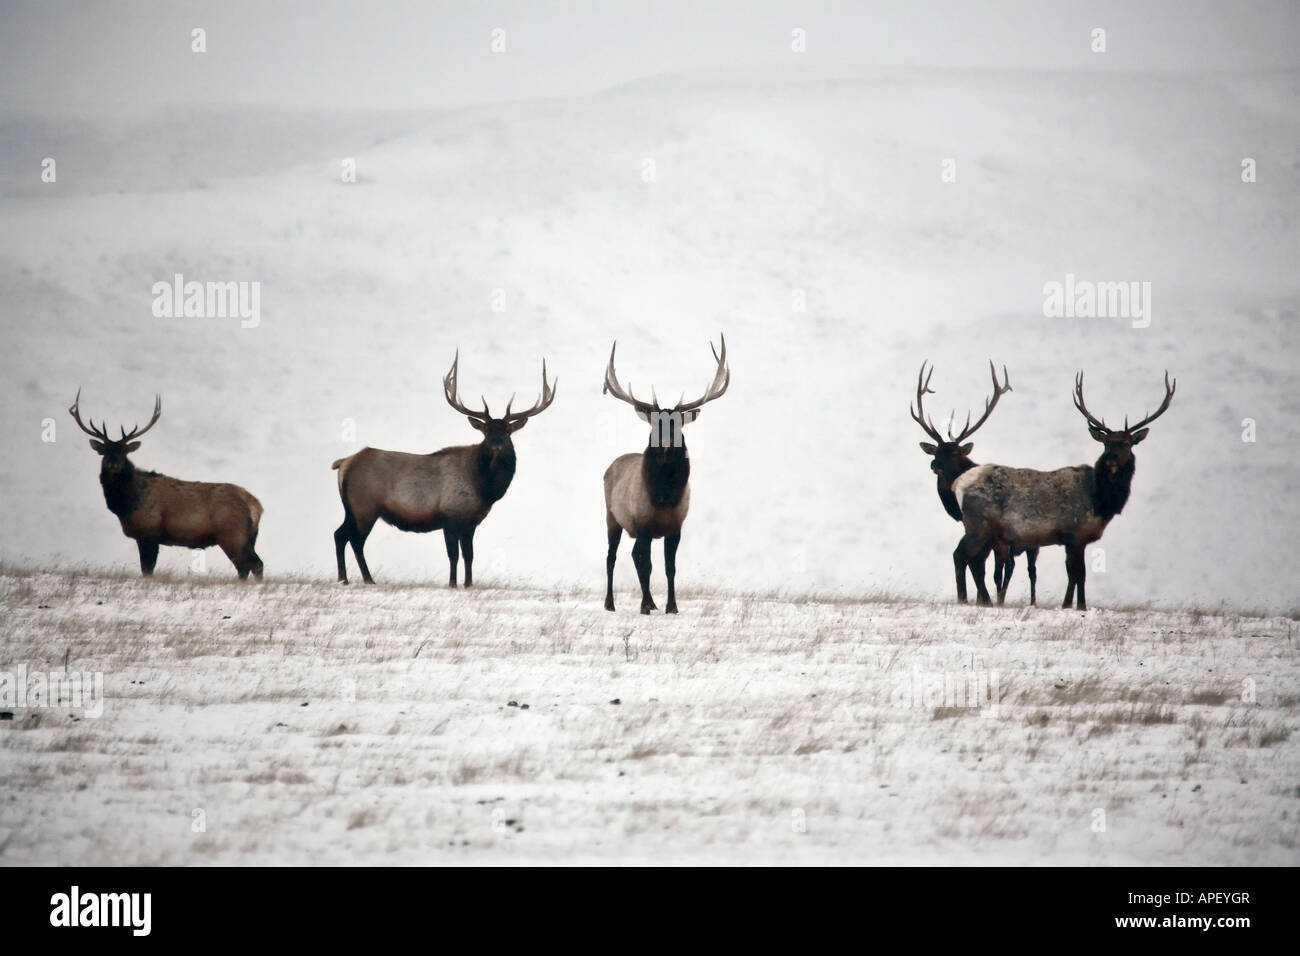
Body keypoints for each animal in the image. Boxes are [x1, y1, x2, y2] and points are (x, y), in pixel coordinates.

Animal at [68, 390, 264, 578]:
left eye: (124, 452)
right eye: (105, 451)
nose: (113, 464)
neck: (127, 503)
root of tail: (256, 506)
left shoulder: (149, 532)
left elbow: (147, 569)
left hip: (232, 534)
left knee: (252, 565)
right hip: (248, 537)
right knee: (249, 566)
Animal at [332, 352, 555, 586]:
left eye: (507, 431)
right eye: (486, 430)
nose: (496, 443)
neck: (484, 489)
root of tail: (343, 463)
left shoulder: (471, 522)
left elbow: (469, 555)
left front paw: (468, 584)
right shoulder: (451, 516)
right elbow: (453, 555)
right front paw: (453, 584)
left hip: (352, 508)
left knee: (340, 535)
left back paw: (345, 578)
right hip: (364, 506)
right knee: (353, 540)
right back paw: (364, 579)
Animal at [602, 335, 729, 614]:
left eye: (678, 423)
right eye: (655, 421)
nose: (667, 442)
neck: (663, 497)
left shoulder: (676, 526)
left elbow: (670, 568)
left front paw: (671, 606)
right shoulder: (642, 523)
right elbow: (646, 565)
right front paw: (646, 605)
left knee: (632, 556)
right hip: (612, 517)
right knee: (612, 557)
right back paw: (610, 603)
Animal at [911, 361, 1038, 605]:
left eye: (955, 453)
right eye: (937, 451)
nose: (934, 464)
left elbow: (978, 564)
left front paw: (981, 599)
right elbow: (979, 565)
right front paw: (981, 599)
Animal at [952, 371, 1175, 610]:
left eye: (1127, 443)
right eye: (1106, 443)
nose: (1110, 458)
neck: (1100, 501)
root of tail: (959, 483)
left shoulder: (1073, 540)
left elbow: (1073, 574)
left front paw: (1069, 604)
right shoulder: (1076, 533)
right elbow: (1080, 574)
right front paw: (1080, 606)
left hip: (986, 531)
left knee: (972, 560)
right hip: (978, 524)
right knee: (961, 556)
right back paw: (966, 599)